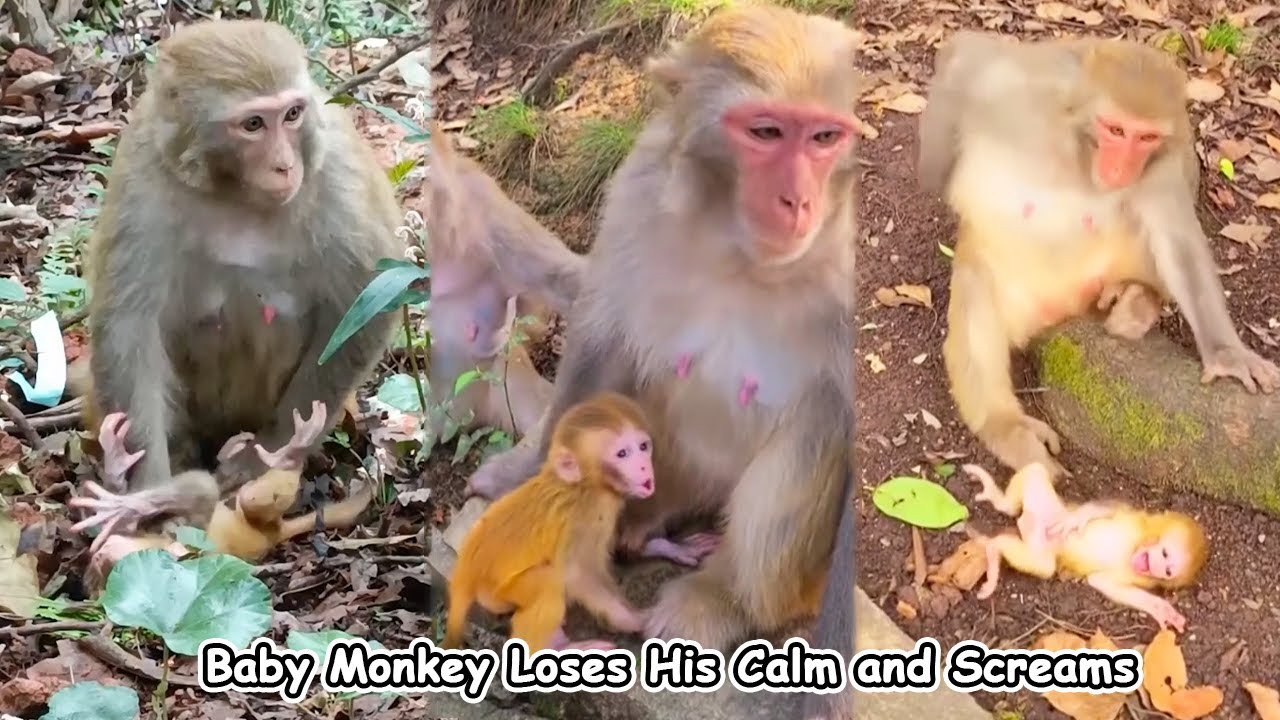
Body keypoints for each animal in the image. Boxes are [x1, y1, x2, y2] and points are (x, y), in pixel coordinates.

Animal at [71, 401, 372, 565]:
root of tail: (276, 534)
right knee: (251, 498)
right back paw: (290, 455)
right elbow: (202, 492)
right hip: (260, 518)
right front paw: (122, 506)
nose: (100, 556)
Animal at [80, 19, 403, 520]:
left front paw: (265, 453)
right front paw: (147, 490)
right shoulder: (143, 172)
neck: (232, 189)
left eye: (292, 115)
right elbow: (128, 324)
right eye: (253, 124)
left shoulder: (336, 173)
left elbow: (367, 299)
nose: (284, 166)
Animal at [442, 392, 655, 653]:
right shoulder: (587, 518)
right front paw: (632, 619)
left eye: (643, 447)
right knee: (547, 581)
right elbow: (579, 574)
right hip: (495, 593)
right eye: (622, 453)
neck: (586, 484)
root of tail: (467, 569)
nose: (644, 466)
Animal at [917, 32, 1280, 478]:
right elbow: (964, 54)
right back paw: (1007, 426)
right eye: (1116, 129)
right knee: (976, 299)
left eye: (1145, 138)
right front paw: (935, 173)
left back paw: (1138, 298)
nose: (1122, 168)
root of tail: (1057, 309)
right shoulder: (1019, 87)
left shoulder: (1166, 157)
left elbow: (1178, 239)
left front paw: (1228, 354)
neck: (1080, 152)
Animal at [963, 462, 1208, 632]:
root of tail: (1030, 522)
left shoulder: (1138, 576)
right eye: (1164, 553)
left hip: (1040, 544)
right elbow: (1106, 507)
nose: (1156, 566)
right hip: (1050, 508)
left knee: (1042, 564)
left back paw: (994, 550)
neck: (1134, 549)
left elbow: (1102, 582)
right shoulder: (1138, 519)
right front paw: (1077, 520)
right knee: (1035, 473)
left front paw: (1161, 608)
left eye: (1167, 571)